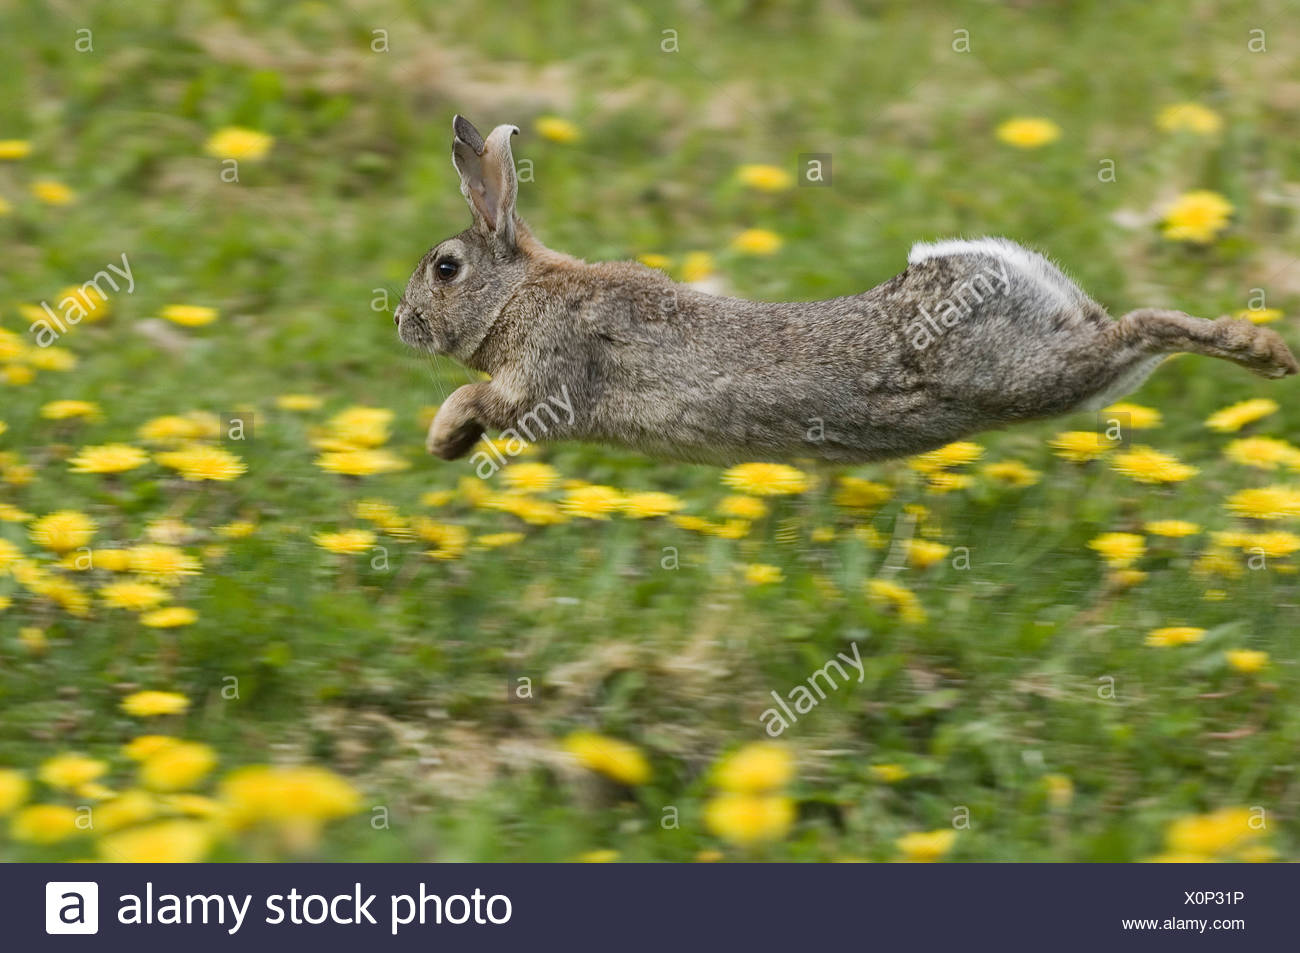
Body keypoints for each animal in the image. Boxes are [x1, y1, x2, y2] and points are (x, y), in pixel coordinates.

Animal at [395, 115, 1297, 465]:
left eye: (445, 268)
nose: (401, 321)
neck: (520, 291)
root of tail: (993, 267)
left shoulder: (546, 379)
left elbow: (481, 398)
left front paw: (442, 437)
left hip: (1023, 375)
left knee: (1141, 326)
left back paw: (1264, 349)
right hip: (1061, 373)